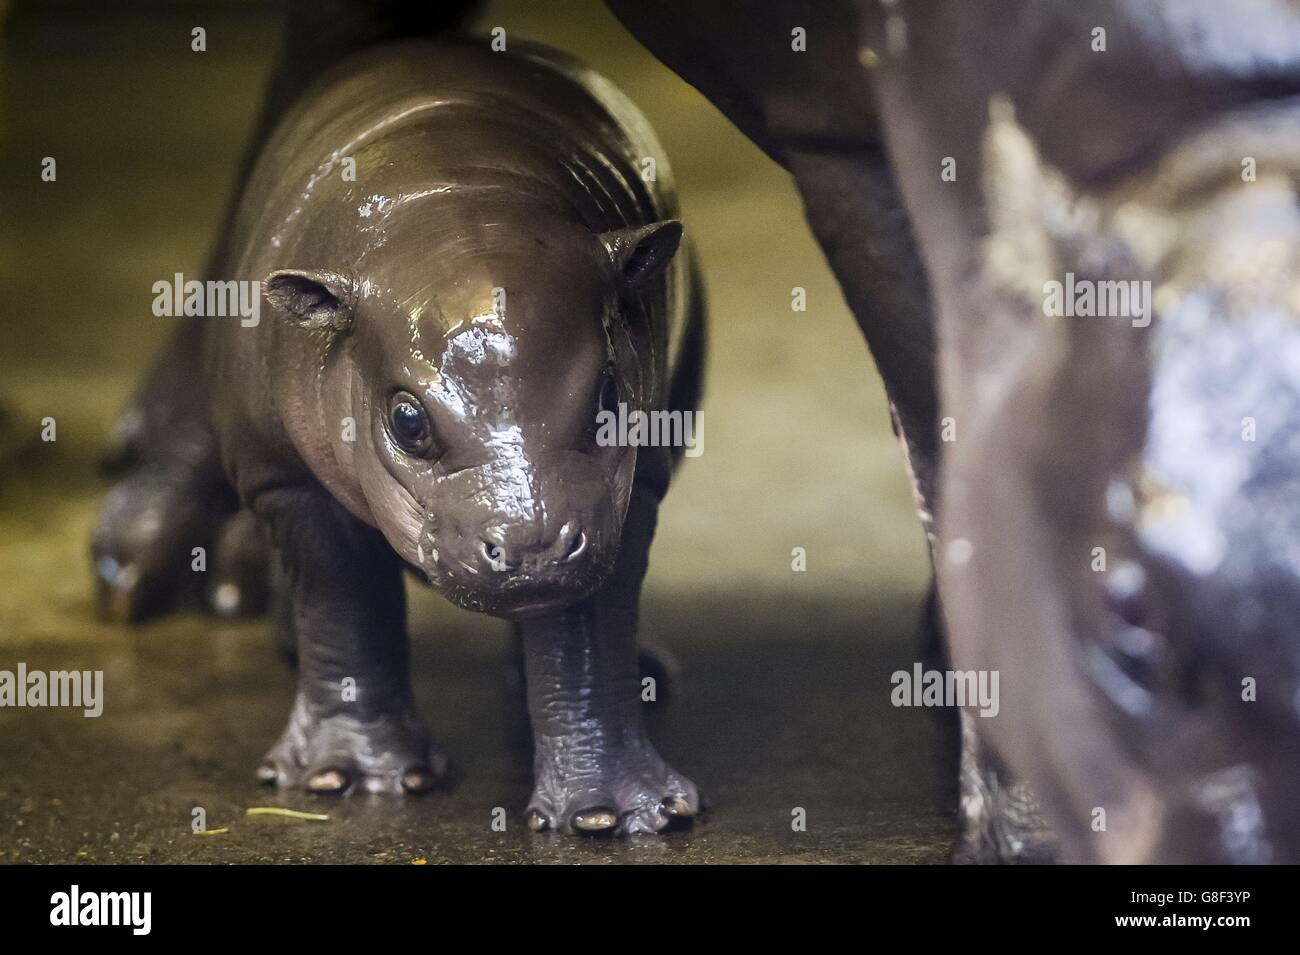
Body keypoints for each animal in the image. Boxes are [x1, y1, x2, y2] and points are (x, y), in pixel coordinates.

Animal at [93, 35, 705, 835]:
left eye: (609, 395)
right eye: (409, 421)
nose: (534, 545)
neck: (460, 206)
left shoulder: (629, 484)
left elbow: (585, 628)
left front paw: (615, 817)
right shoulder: (286, 477)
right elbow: (344, 598)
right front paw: (346, 778)